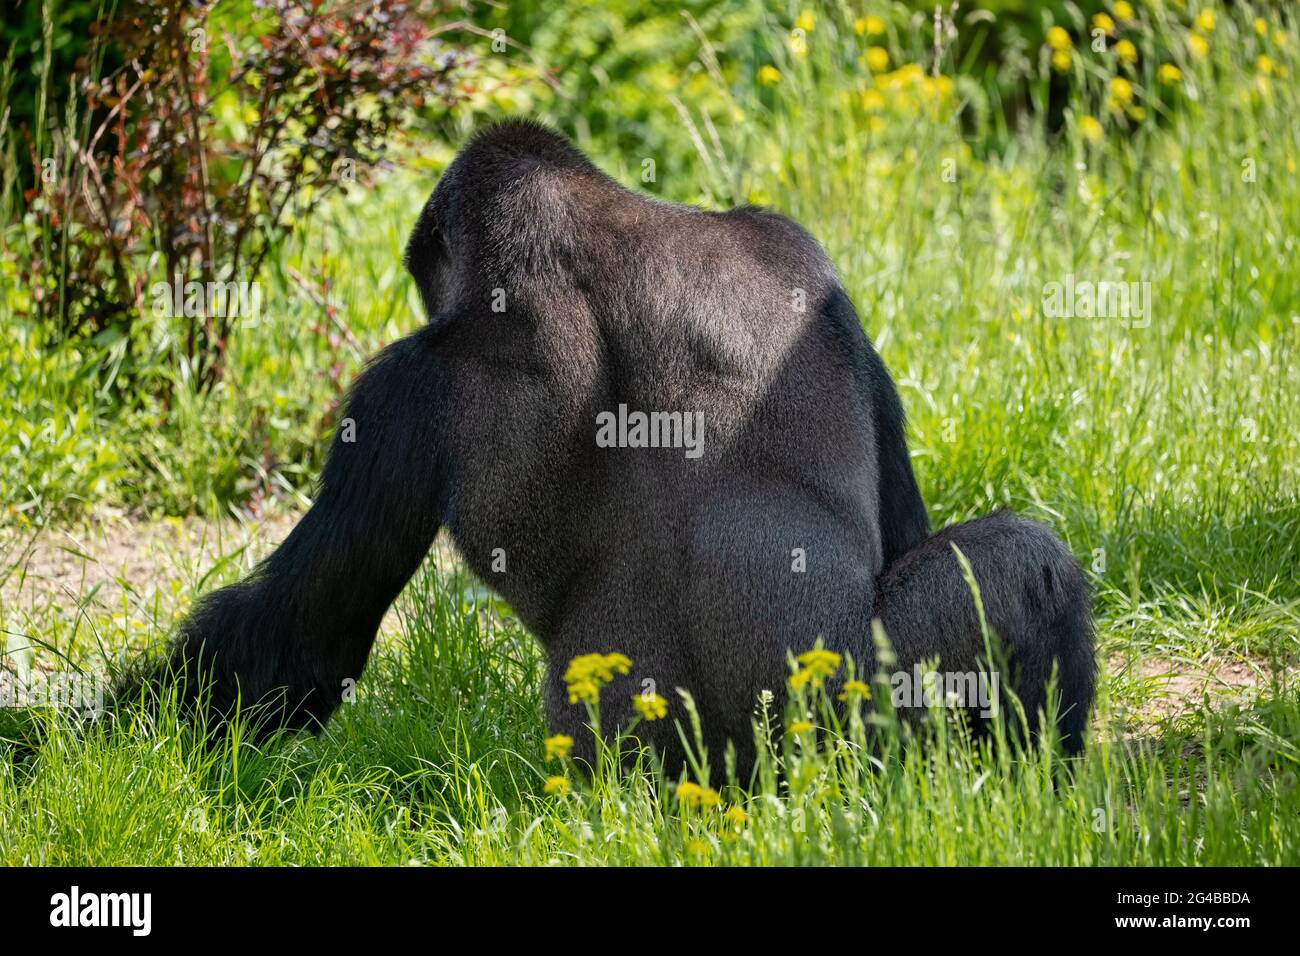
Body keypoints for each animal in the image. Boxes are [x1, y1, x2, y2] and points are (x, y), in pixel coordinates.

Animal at [116, 120, 1095, 772]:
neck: (575, 252)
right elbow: (303, 635)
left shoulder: (397, 389)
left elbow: (305, 631)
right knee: (1027, 563)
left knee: (1024, 562)